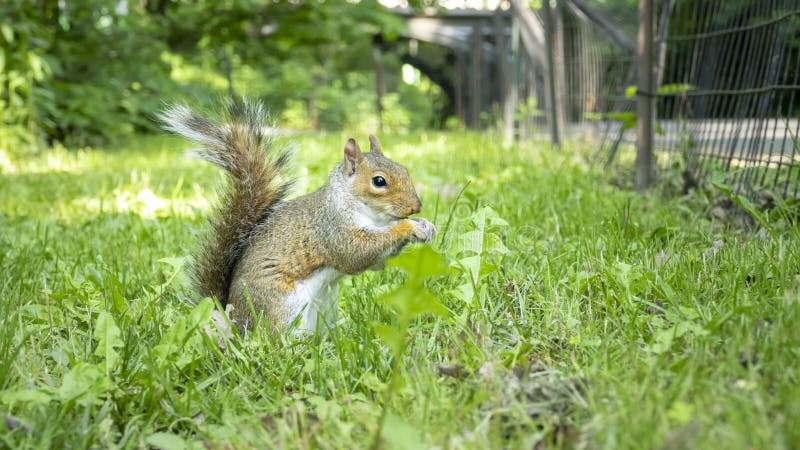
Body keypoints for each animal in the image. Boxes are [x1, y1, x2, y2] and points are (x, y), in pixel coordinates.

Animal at [159, 100, 436, 333]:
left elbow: (377, 260)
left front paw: (425, 225)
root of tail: (232, 316)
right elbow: (355, 253)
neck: (371, 215)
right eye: (379, 181)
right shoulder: (332, 228)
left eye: (404, 170)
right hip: (281, 306)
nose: (416, 207)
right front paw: (408, 227)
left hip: (325, 305)